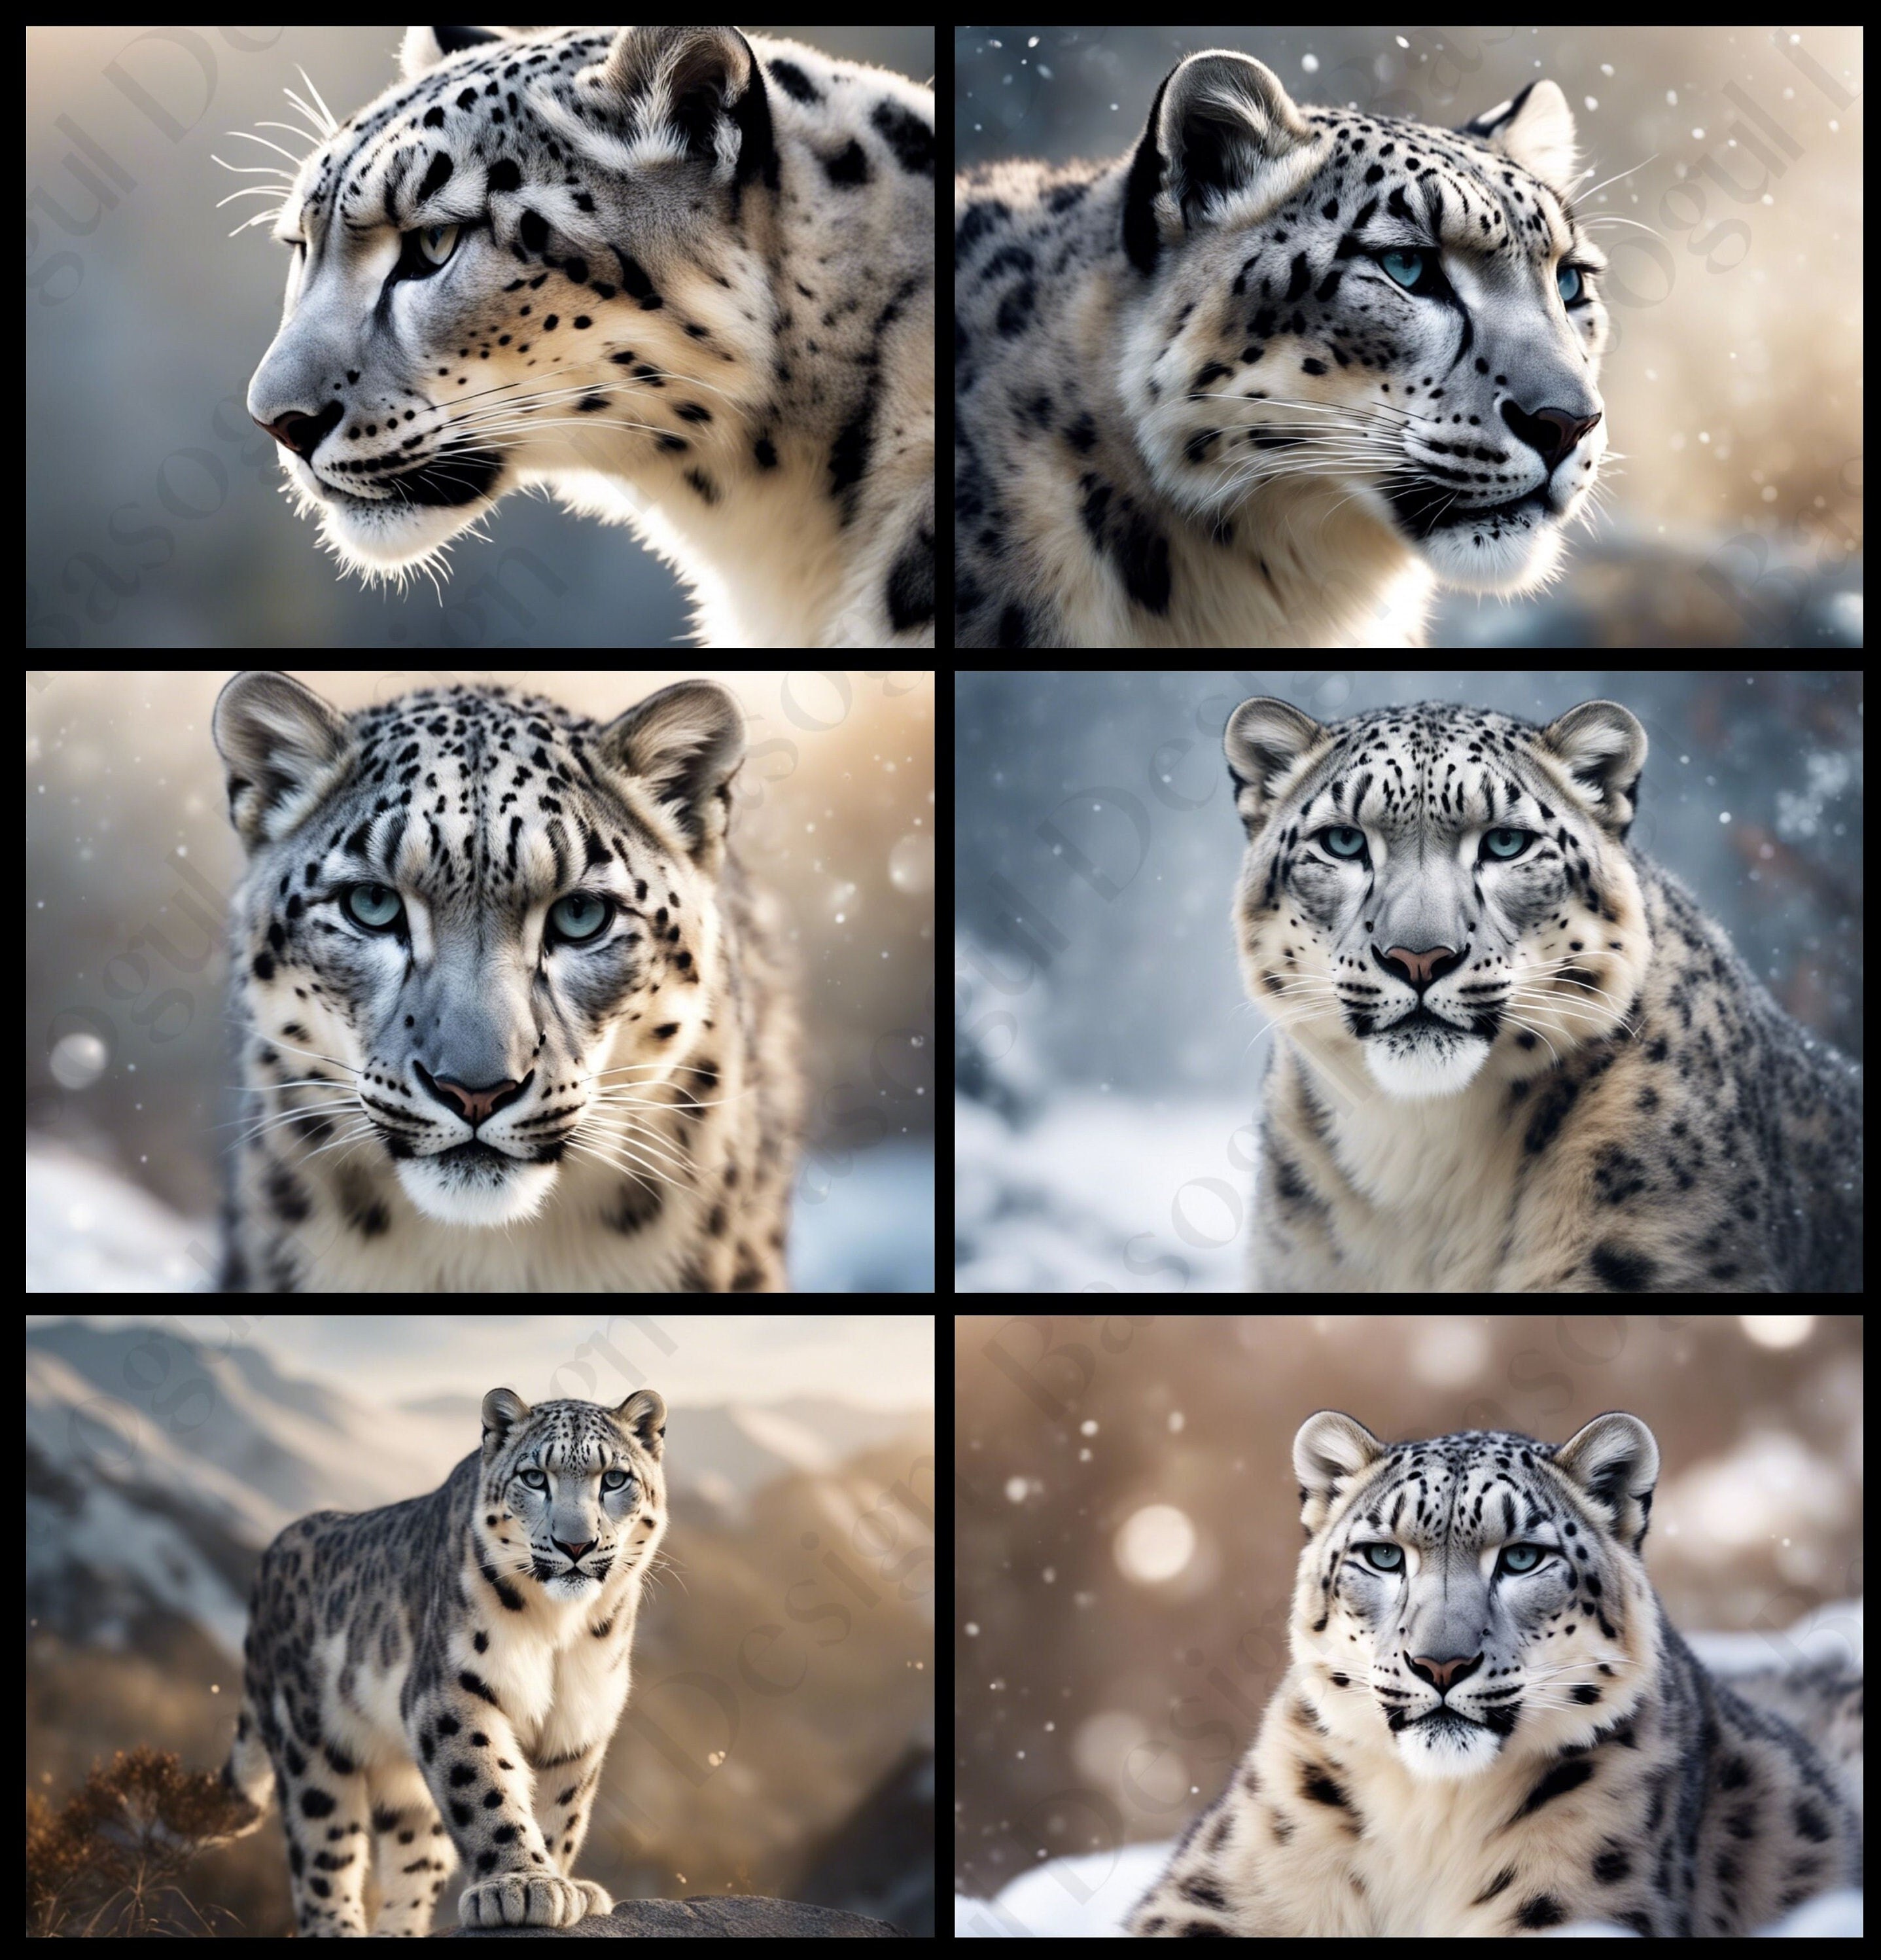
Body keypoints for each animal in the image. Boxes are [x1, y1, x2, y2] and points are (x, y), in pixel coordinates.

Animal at [222, 1385, 667, 1935]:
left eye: (614, 1478)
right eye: (534, 1477)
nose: (576, 1543)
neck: (560, 1630)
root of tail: (269, 1560)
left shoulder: (580, 1716)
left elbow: (562, 1807)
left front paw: (562, 1884)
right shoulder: (453, 1691)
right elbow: (486, 1786)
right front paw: (522, 1886)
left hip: (404, 1786)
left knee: (411, 1858)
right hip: (310, 1751)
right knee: (323, 1858)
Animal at [1129, 1409, 1863, 1937]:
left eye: (1520, 1557)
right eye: (1382, 1555)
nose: (1440, 1661)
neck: (1429, 1813)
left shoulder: (1569, 1898)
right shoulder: (1221, 1889)